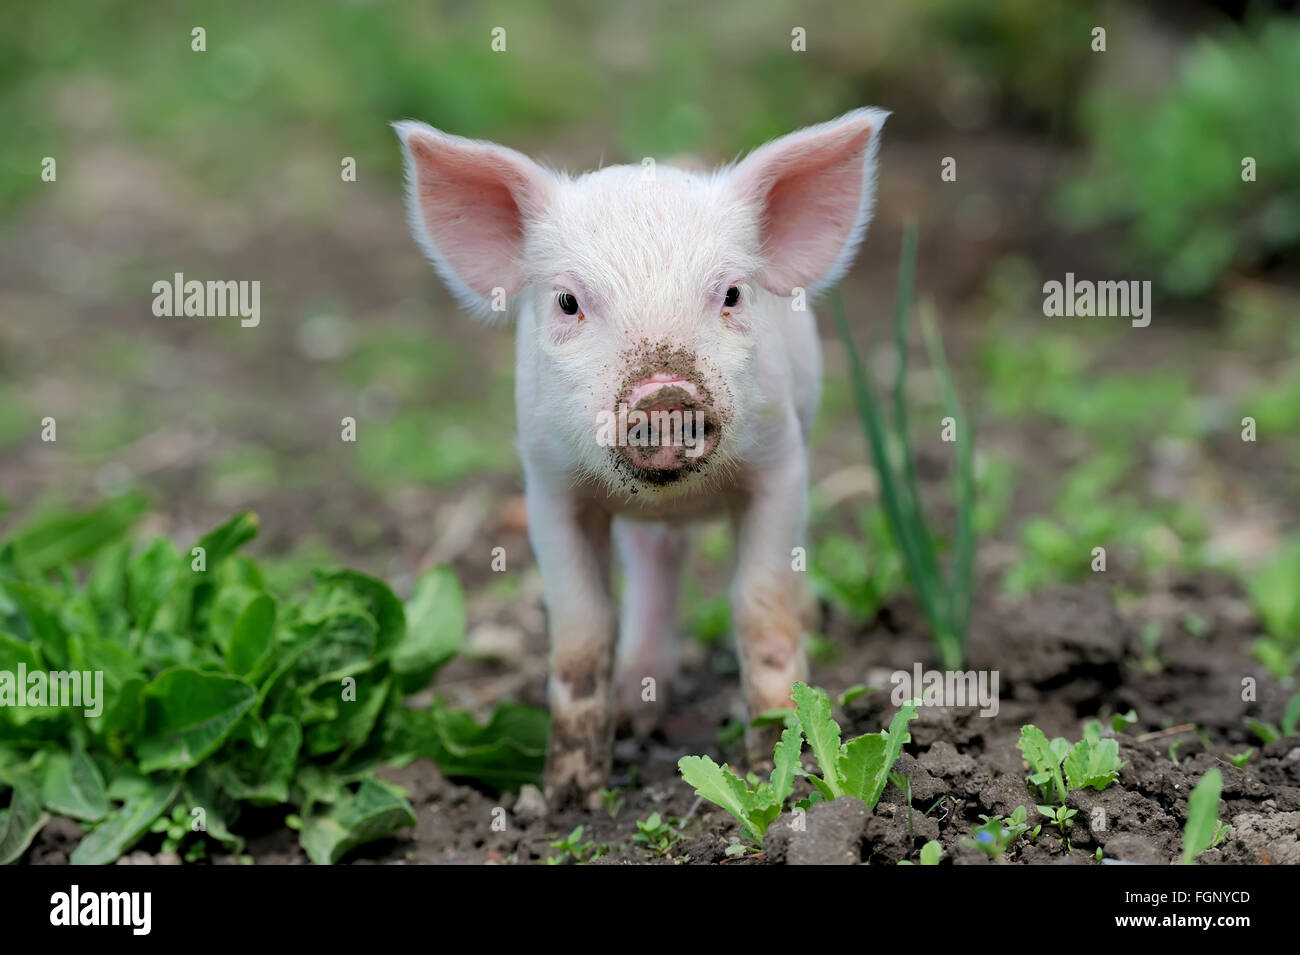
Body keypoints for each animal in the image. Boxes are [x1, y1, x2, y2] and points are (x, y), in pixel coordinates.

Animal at [394, 108, 888, 808]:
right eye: (568, 301)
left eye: (732, 294)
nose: (664, 393)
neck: (676, 495)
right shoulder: (548, 486)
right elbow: (582, 630)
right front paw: (571, 796)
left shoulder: (783, 461)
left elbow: (758, 607)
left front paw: (777, 770)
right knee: (656, 563)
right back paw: (638, 707)